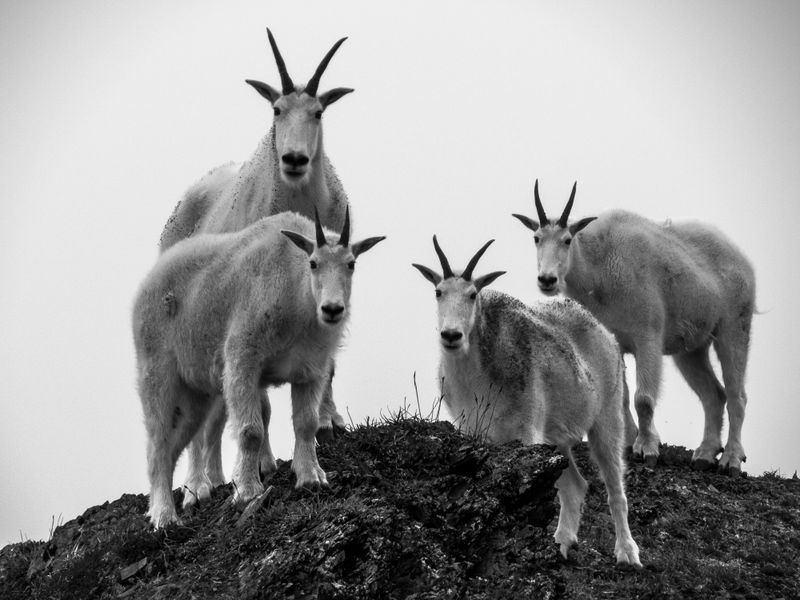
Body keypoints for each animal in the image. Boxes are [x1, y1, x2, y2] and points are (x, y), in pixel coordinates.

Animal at [133, 209, 385, 528]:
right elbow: (251, 430)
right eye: (313, 263)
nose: (332, 309)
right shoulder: (243, 360)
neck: (298, 294)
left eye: (351, 264)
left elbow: (306, 423)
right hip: (157, 374)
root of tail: (146, 283)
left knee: (175, 445)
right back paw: (165, 516)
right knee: (157, 446)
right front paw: (247, 491)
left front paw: (310, 477)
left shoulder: (310, 370)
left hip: (196, 394)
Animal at [159, 28, 354, 499]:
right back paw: (200, 485)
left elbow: (325, 365)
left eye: (318, 111)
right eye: (276, 110)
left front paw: (329, 421)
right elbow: (257, 402)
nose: (295, 159)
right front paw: (261, 466)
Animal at [412, 237, 641, 566]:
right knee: (575, 485)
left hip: (607, 419)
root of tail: (606, 334)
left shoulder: (527, 430)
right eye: (438, 292)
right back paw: (562, 544)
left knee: (615, 489)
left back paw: (627, 553)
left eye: (472, 294)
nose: (451, 335)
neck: (477, 377)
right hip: (556, 439)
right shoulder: (475, 429)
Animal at [512, 181, 755, 475]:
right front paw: (628, 444)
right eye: (537, 238)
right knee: (714, 395)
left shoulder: (647, 336)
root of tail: (743, 261)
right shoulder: (615, 341)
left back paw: (731, 459)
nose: (547, 280)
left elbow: (643, 398)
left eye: (567, 240)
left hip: (734, 328)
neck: (599, 267)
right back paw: (705, 455)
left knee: (736, 395)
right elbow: (624, 397)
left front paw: (647, 449)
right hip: (691, 349)